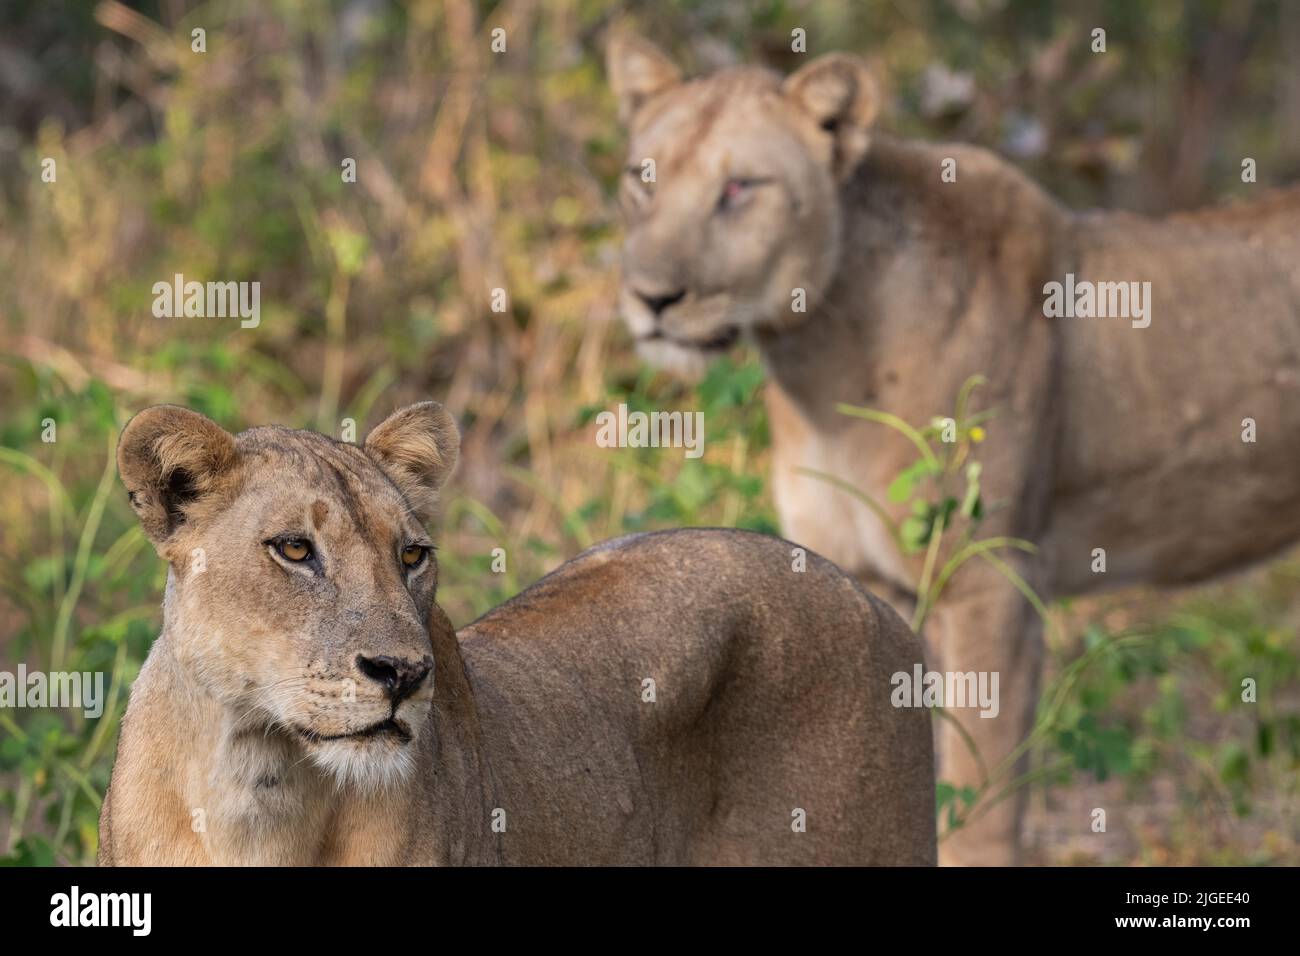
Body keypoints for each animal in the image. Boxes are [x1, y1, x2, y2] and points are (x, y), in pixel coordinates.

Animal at [606, 33, 1300, 865]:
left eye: (740, 187)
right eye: (643, 180)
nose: (651, 297)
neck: (819, 362)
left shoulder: (989, 581)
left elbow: (980, 804)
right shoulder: (872, 584)